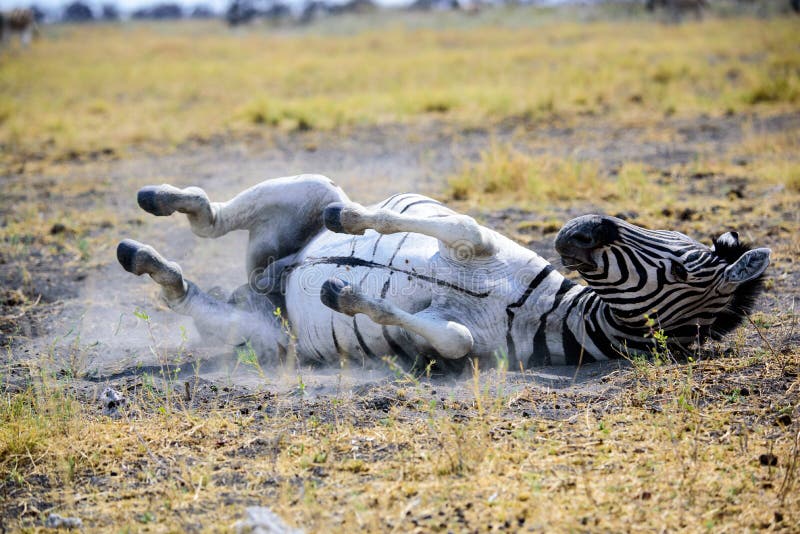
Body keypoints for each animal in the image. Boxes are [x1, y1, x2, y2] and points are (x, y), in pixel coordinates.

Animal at [116, 175, 770, 372]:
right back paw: (155, 201)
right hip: (307, 189)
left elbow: (448, 336)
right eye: (673, 239)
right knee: (209, 217)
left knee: (185, 289)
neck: (535, 308)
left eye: (684, 262)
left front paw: (343, 291)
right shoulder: (478, 242)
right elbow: (458, 227)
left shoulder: (466, 345)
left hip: (267, 336)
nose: (583, 226)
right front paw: (352, 223)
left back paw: (143, 258)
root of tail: (263, 282)